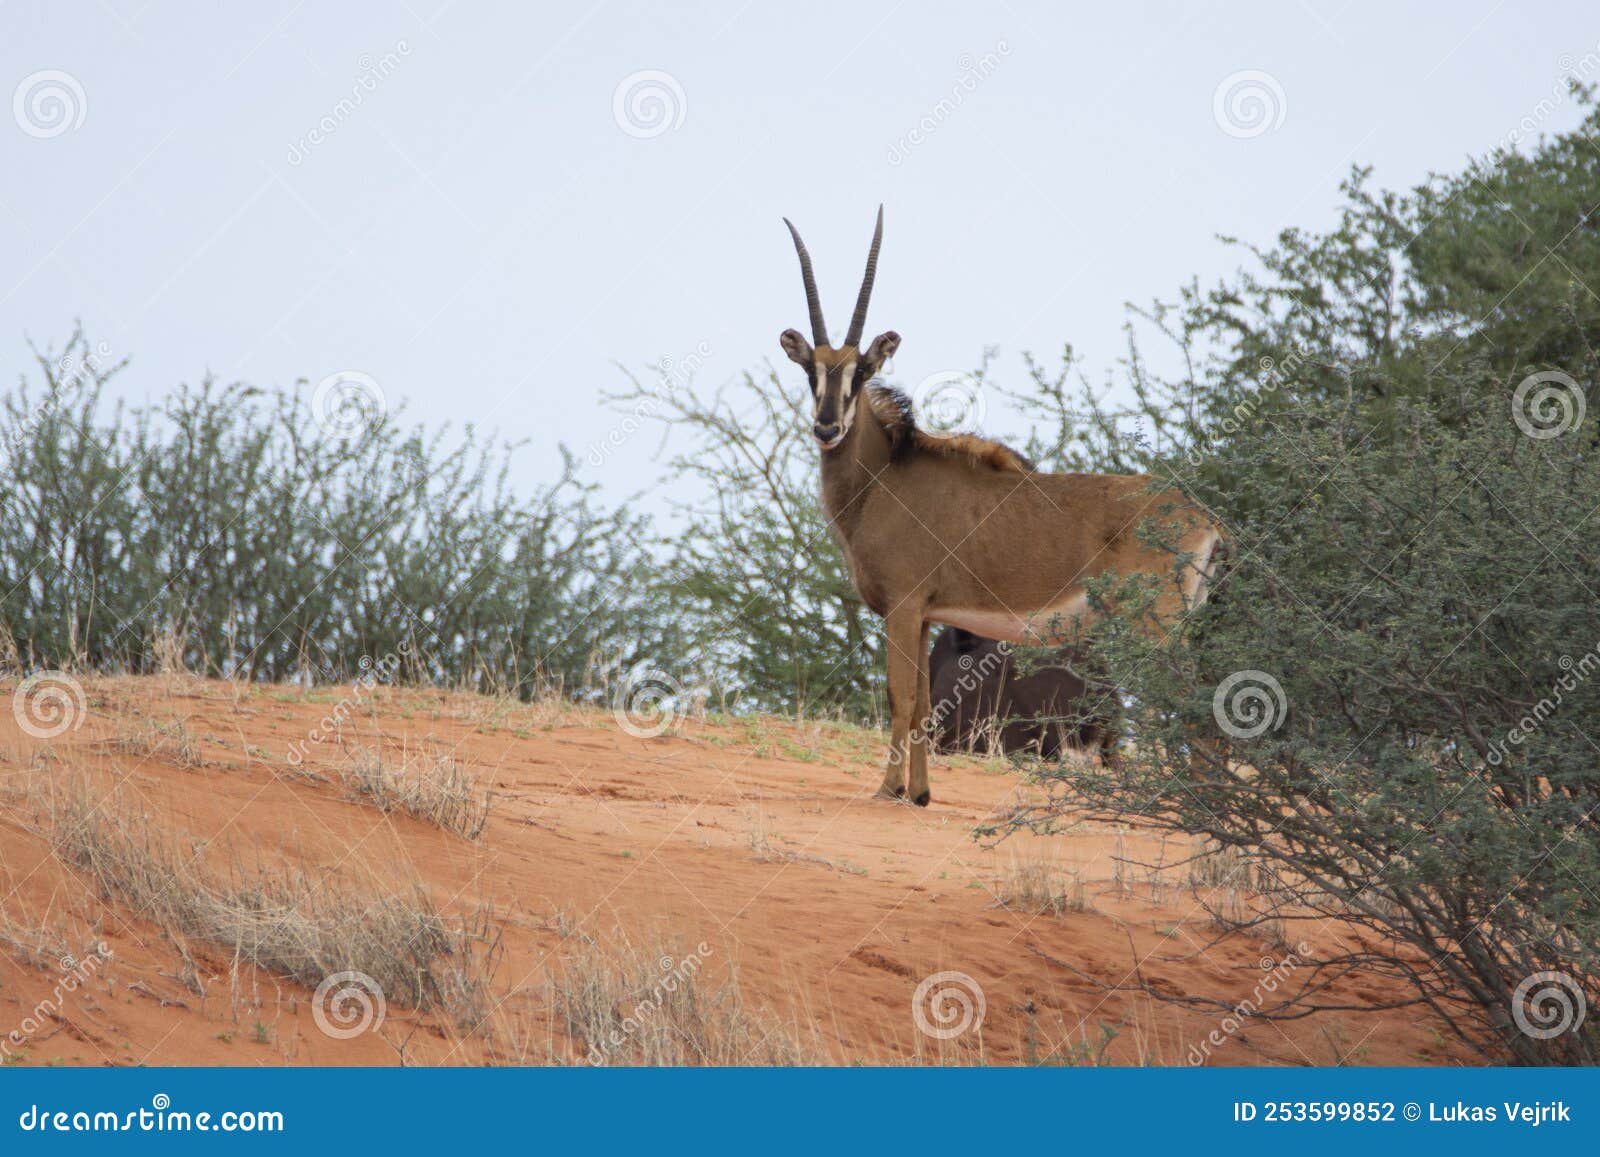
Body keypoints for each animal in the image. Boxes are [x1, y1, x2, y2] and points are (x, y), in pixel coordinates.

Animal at [779, 207, 1222, 807]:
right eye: (811, 371)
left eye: (861, 372)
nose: (827, 428)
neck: (885, 474)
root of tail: (1205, 517)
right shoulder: (926, 616)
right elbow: (923, 701)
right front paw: (921, 793)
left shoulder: (903, 605)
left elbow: (900, 695)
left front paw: (888, 790)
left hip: (1156, 625)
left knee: (1192, 704)